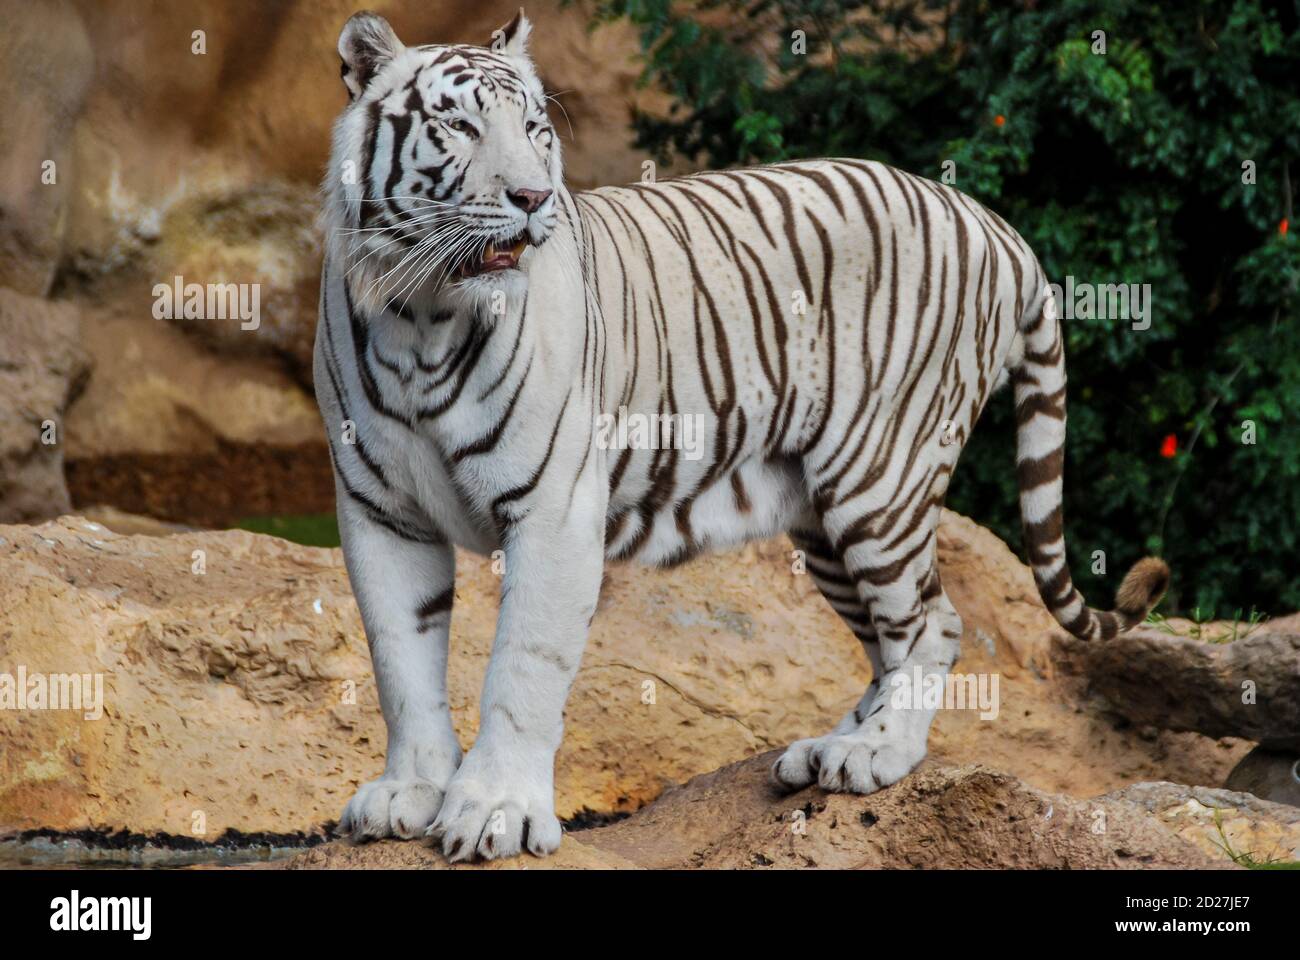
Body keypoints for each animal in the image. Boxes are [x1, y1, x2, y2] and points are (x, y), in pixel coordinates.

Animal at [315, 9, 1170, 861]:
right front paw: (408, 792)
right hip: (819, 515)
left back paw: (875, 754)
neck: (423, 315)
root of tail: (993, 223)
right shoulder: (381, 514)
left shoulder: (553, 508)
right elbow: (401, 663)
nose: (531, 196)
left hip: (879, 480)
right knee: (889, 636)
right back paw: (825, 748)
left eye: (534, 128)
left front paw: (496, 810)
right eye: (459, 126)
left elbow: (523, 668)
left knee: (932, 624)